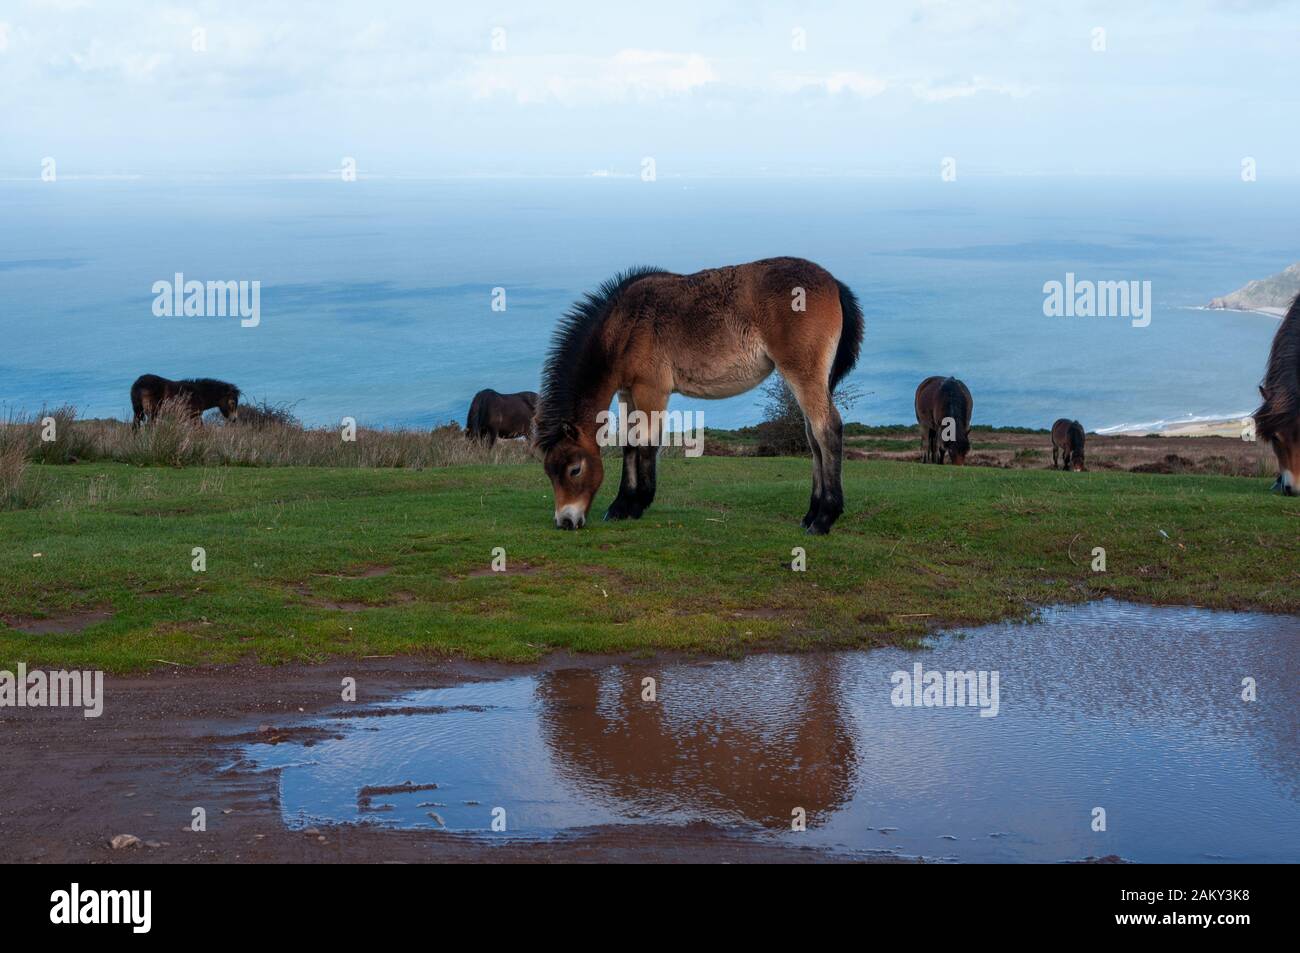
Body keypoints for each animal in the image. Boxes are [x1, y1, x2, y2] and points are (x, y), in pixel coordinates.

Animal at [534, 257, 864, 533]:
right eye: (549, 472)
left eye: (575, 469)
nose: (566, 521)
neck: (627, 324)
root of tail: (833, 283)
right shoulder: (627, 392)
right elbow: (629, 443)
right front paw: (620, 507)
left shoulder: (652, 390)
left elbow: (647, 443)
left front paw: (638, 503)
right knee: (813, 437)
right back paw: (811, 514)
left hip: (803, 374)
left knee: (826, 429)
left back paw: (824, 519)